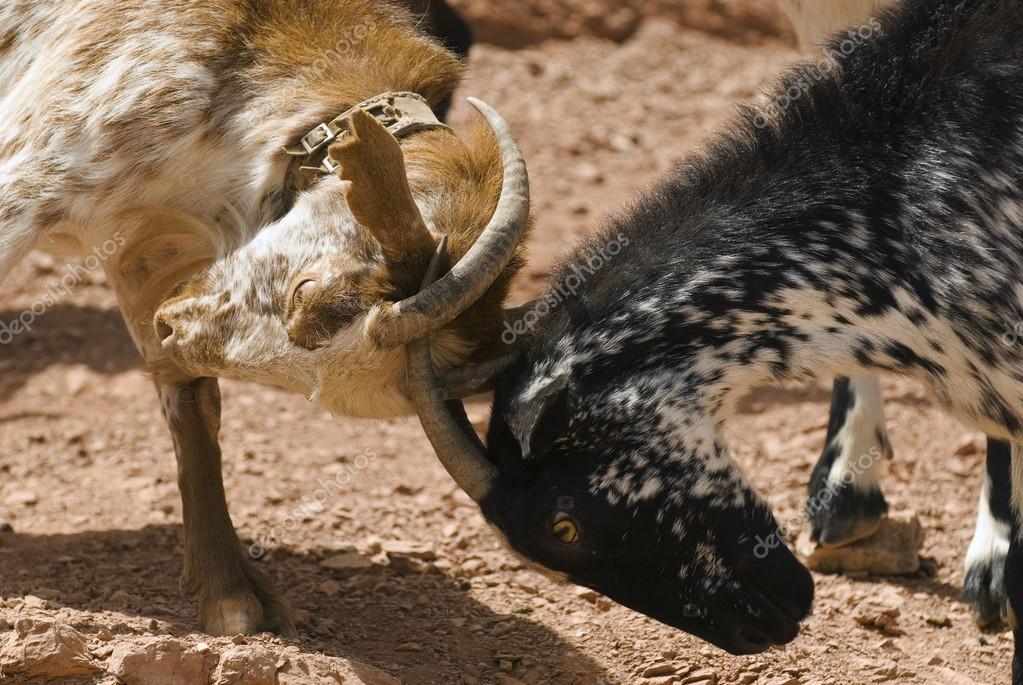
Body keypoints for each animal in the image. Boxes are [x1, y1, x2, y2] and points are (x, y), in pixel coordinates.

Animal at [0, 0, 531, 636]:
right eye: (309, 292)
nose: (170, 328)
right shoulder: (35, 173)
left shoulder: (150, 244)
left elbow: (193, 404)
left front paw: (229, 593)